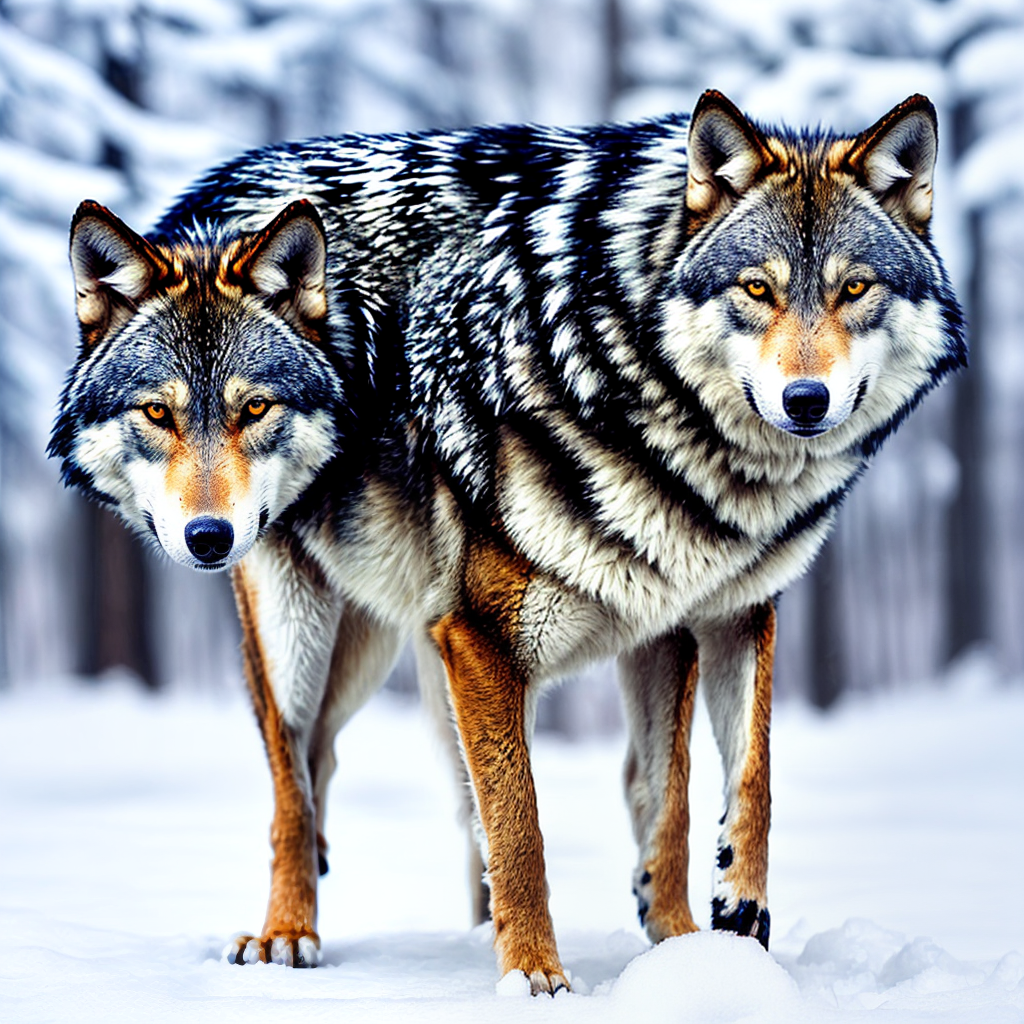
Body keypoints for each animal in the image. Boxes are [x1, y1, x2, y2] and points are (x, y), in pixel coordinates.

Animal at [52, 90, 963, 992]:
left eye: (855, 288)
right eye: (756, 289)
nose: (806, 400)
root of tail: (205, 209)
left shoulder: (704, 619)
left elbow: (716, 786)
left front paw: (693, 946)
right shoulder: (482, 641)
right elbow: (521, 826)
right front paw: (536, 979)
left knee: (365, 777)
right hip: (305, 644)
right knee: (295, 779)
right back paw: (286, 935)